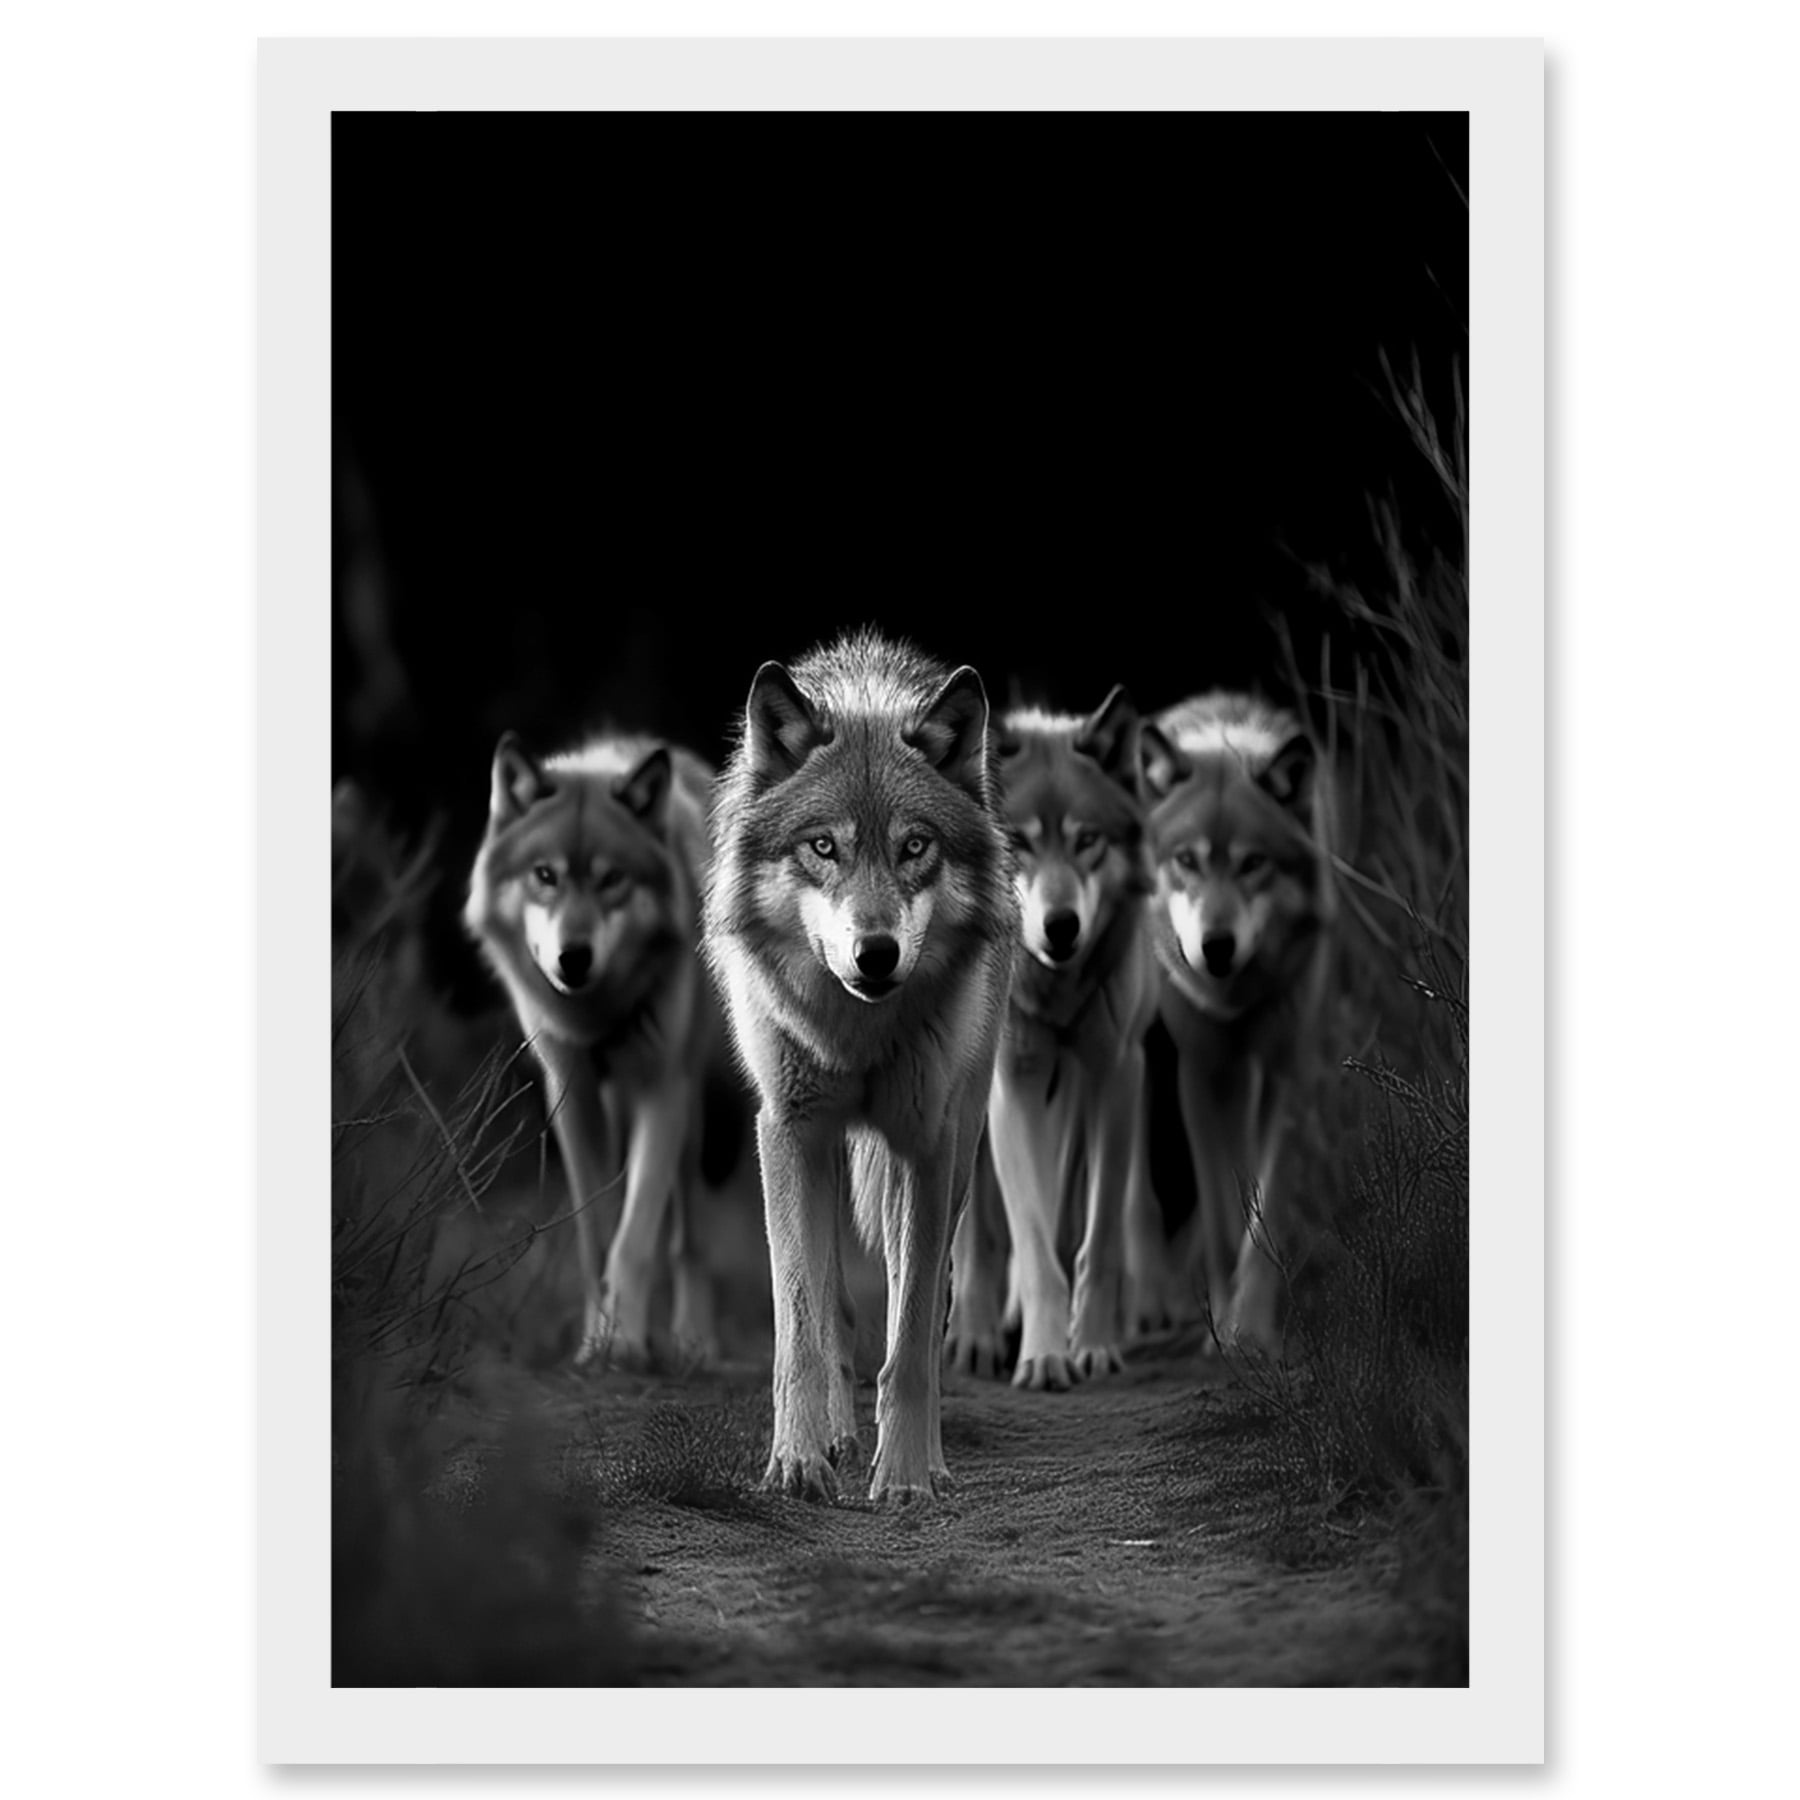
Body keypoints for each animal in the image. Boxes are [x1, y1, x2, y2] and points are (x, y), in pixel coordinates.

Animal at [463, 731, 732, 1367]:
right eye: (546, 875)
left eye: (612, 879)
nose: (574, 957)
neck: (598, 1019)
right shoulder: (574, 1099)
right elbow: (597, 1238)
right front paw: (596, 1341)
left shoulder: (664, 1091)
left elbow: (634, 1239)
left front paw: (627, 1344)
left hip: (691, 1110)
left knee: (689, 1237)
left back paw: (692, 1343)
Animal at [704, 629, 1015, 1505]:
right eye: (823, 847)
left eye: (915, 847)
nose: (875, 954)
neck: (859, 1035)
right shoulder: (786, 1131)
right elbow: (800, 1325)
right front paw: (797, 1462)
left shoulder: (929, 1145)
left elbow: (908, 1335)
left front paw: (908, 1476)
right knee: (835, 1307)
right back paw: (839, 1437)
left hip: (963, 1136)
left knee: (928, 1293)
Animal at [942, 689, 1163, 1391]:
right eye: (1020, 843)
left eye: (1087, 841)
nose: (1061, 926)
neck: (1053, 993)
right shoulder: (1010, 1084)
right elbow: (1030, 1241)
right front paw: (1041, 1356)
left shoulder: (1116, 1075)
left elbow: (1096, 1239)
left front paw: (1090, 1345)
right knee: (977, 1231)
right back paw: (975, 1336)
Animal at [1136, 693, 1336, 1354]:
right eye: (1187, 862)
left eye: (1253, 864)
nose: (1216, 946)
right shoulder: (1202, 1073)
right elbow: (1225, 1220)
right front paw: (1223, 1332)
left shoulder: (1286, 1074)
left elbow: (1263, 1212)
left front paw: (1250, 1329)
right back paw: (1149, 1302)